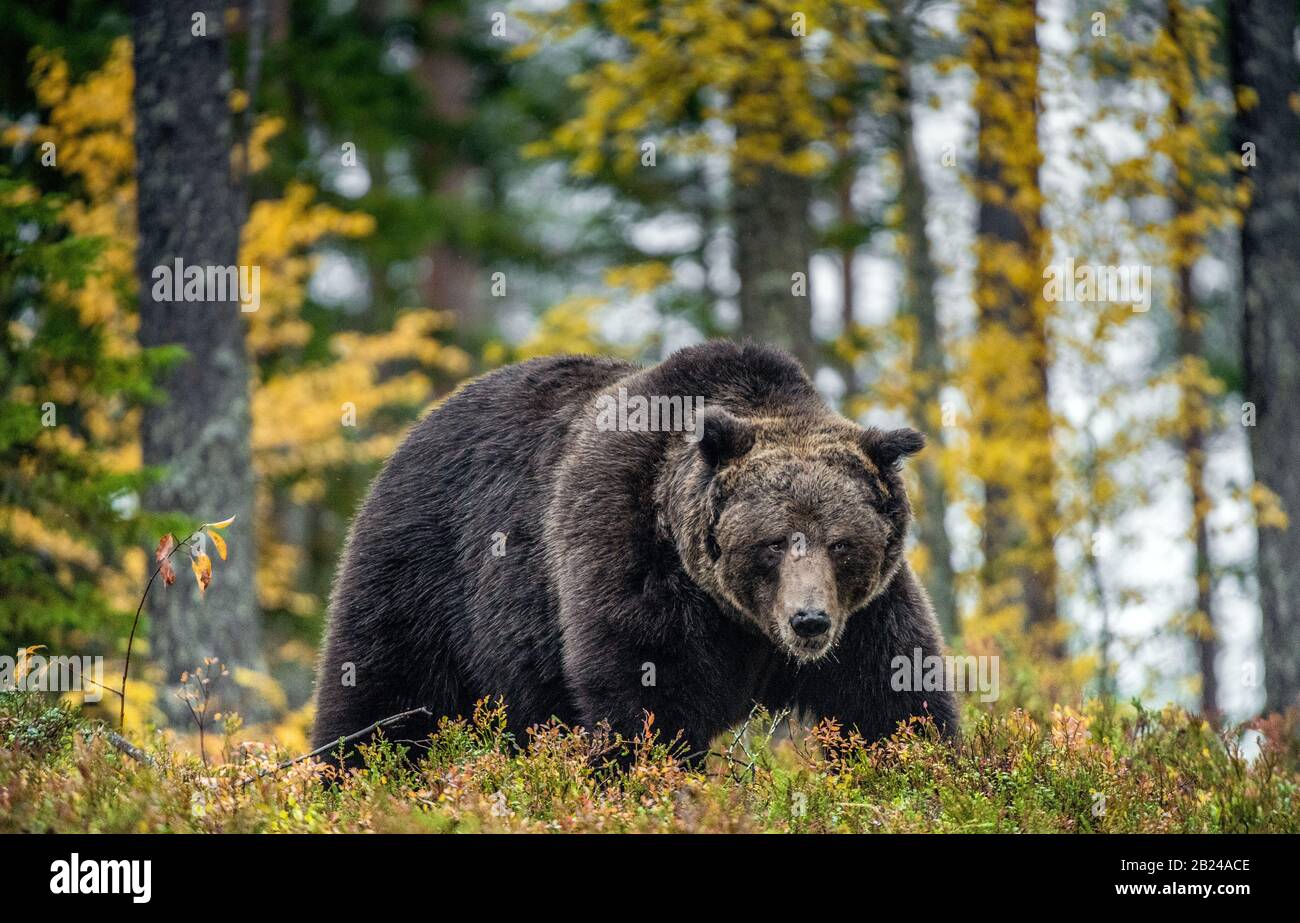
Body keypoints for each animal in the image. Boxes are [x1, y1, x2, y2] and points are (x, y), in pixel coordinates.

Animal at [312, 341, 956, 763]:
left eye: (841, 543)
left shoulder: (868, 614)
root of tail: (421, 426)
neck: (741, 622)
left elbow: (890, 701)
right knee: (381, 702)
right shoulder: (629, 555)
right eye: (773, 542)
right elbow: (648, 703)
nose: (809, 621)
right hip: (428, 572)